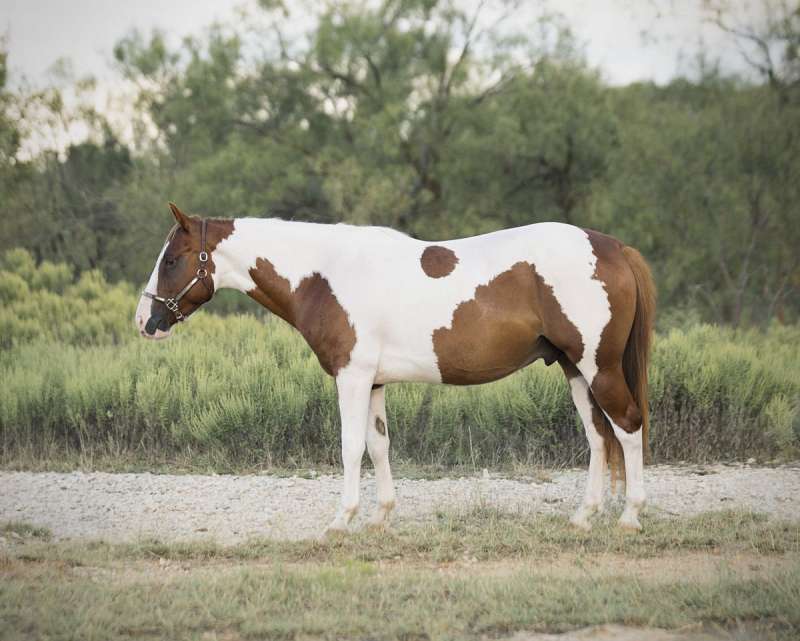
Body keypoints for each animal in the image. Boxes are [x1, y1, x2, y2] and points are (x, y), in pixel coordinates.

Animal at [136, 203, 655, 534]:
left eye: (173, 259)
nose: (145, 321)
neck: (324, 275)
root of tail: (612, 247)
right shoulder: (374, 381)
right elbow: (378, 445)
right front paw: (380, 517)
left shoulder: (351, 377)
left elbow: (349, 448)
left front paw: (341, 520)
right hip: (575, 369)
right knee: (598, 437)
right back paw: (584, 517)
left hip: (599, 367)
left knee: (627, 427)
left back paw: (629, 517)